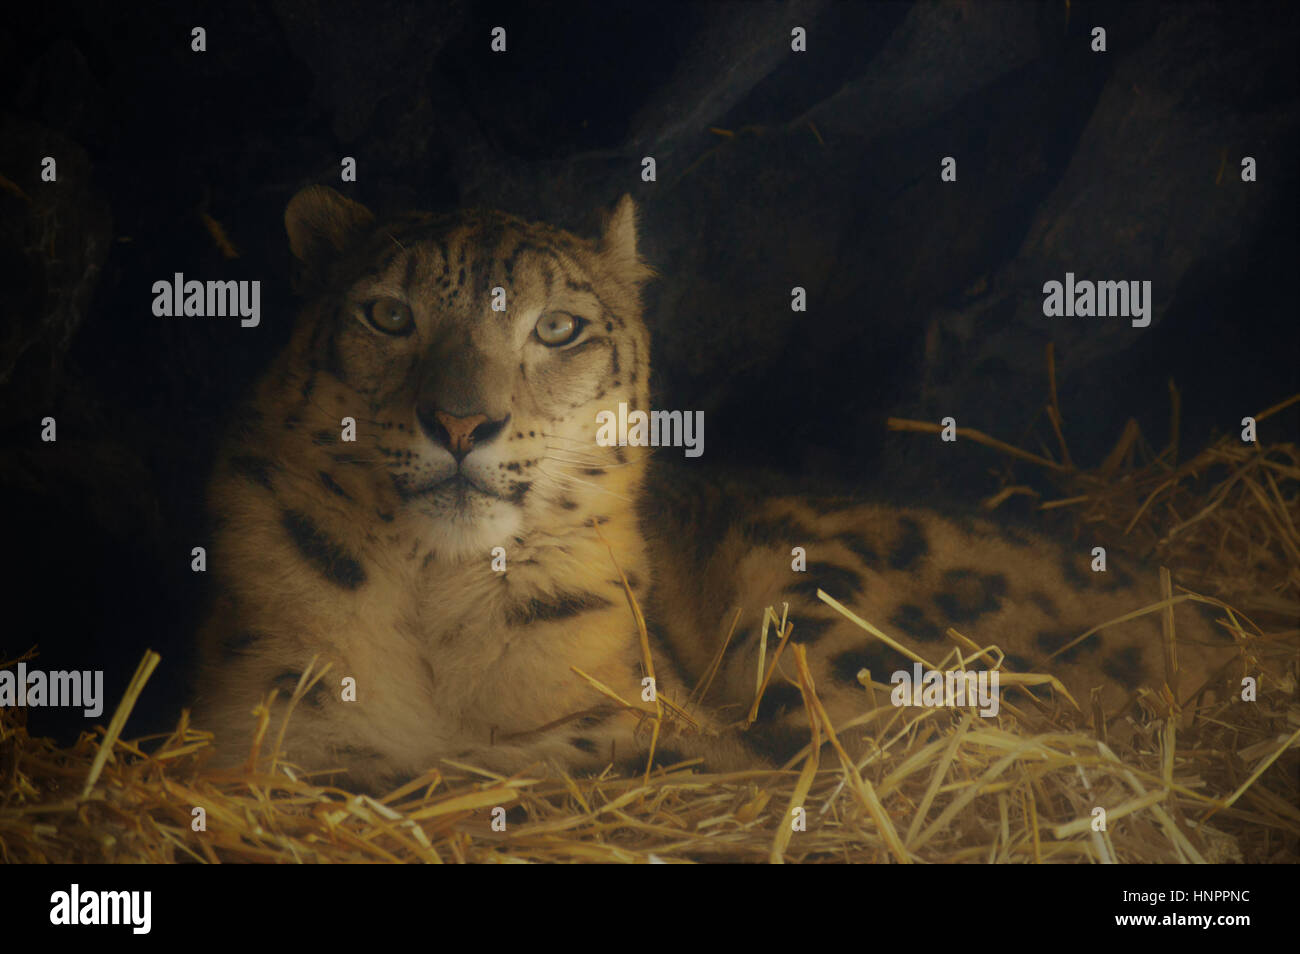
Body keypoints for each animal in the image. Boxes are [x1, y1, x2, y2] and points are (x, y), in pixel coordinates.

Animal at [192, 185, 1239, 791]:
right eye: (387, 314)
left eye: (559, 328)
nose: (459, 424)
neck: (436, 610)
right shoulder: (253, 701)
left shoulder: (648, 701)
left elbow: (626, 741)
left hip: (818, 601)